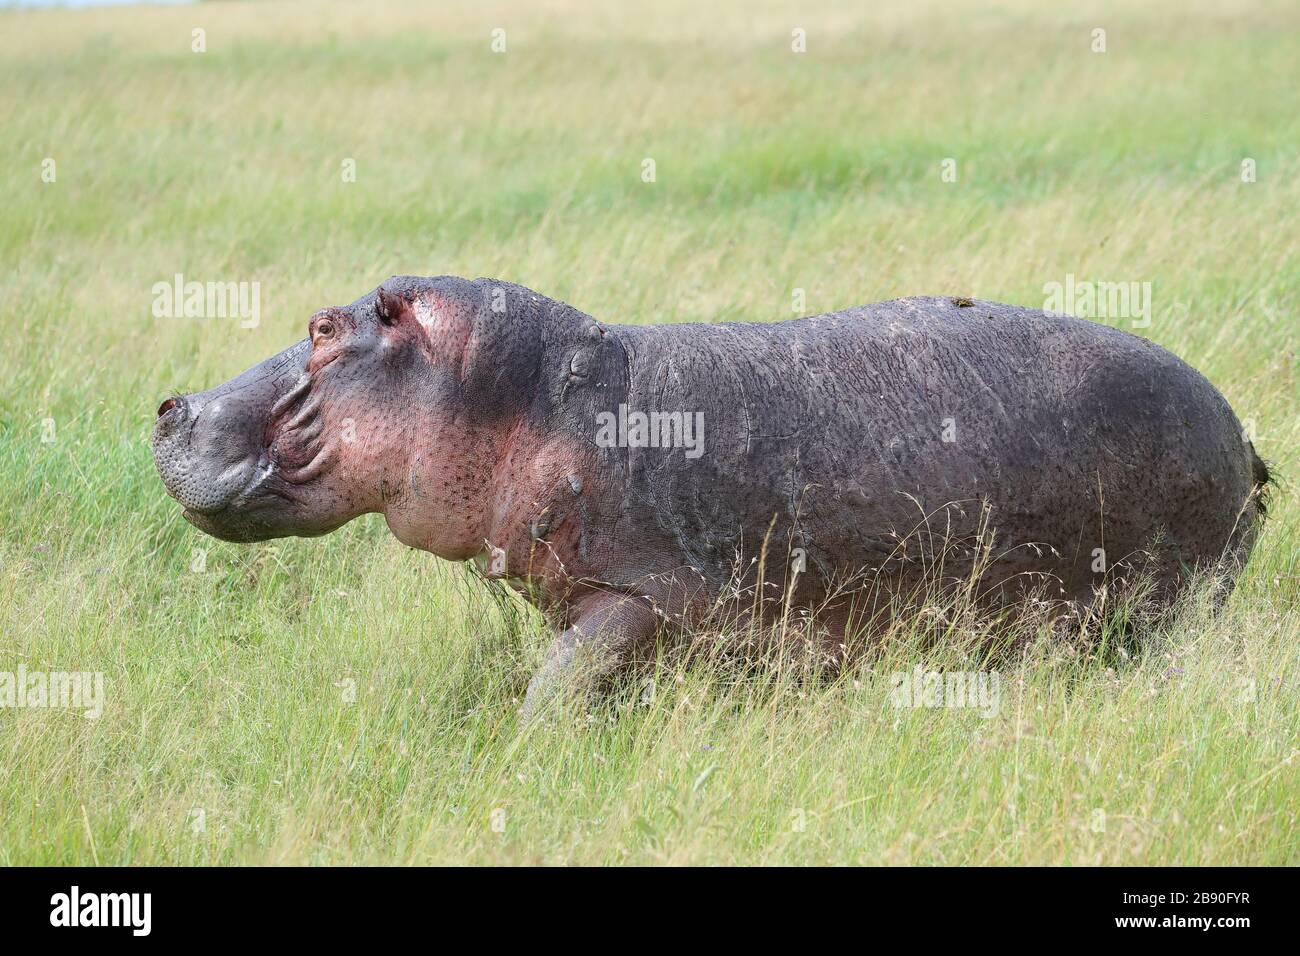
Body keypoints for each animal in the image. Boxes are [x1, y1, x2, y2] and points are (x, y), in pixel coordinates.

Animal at [152, 277, 1271, 711]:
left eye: (321, 329)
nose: (168, 403)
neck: (521, 389)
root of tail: (1243, 428)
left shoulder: (636, 596)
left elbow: (557, 685)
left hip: (1177, 595)